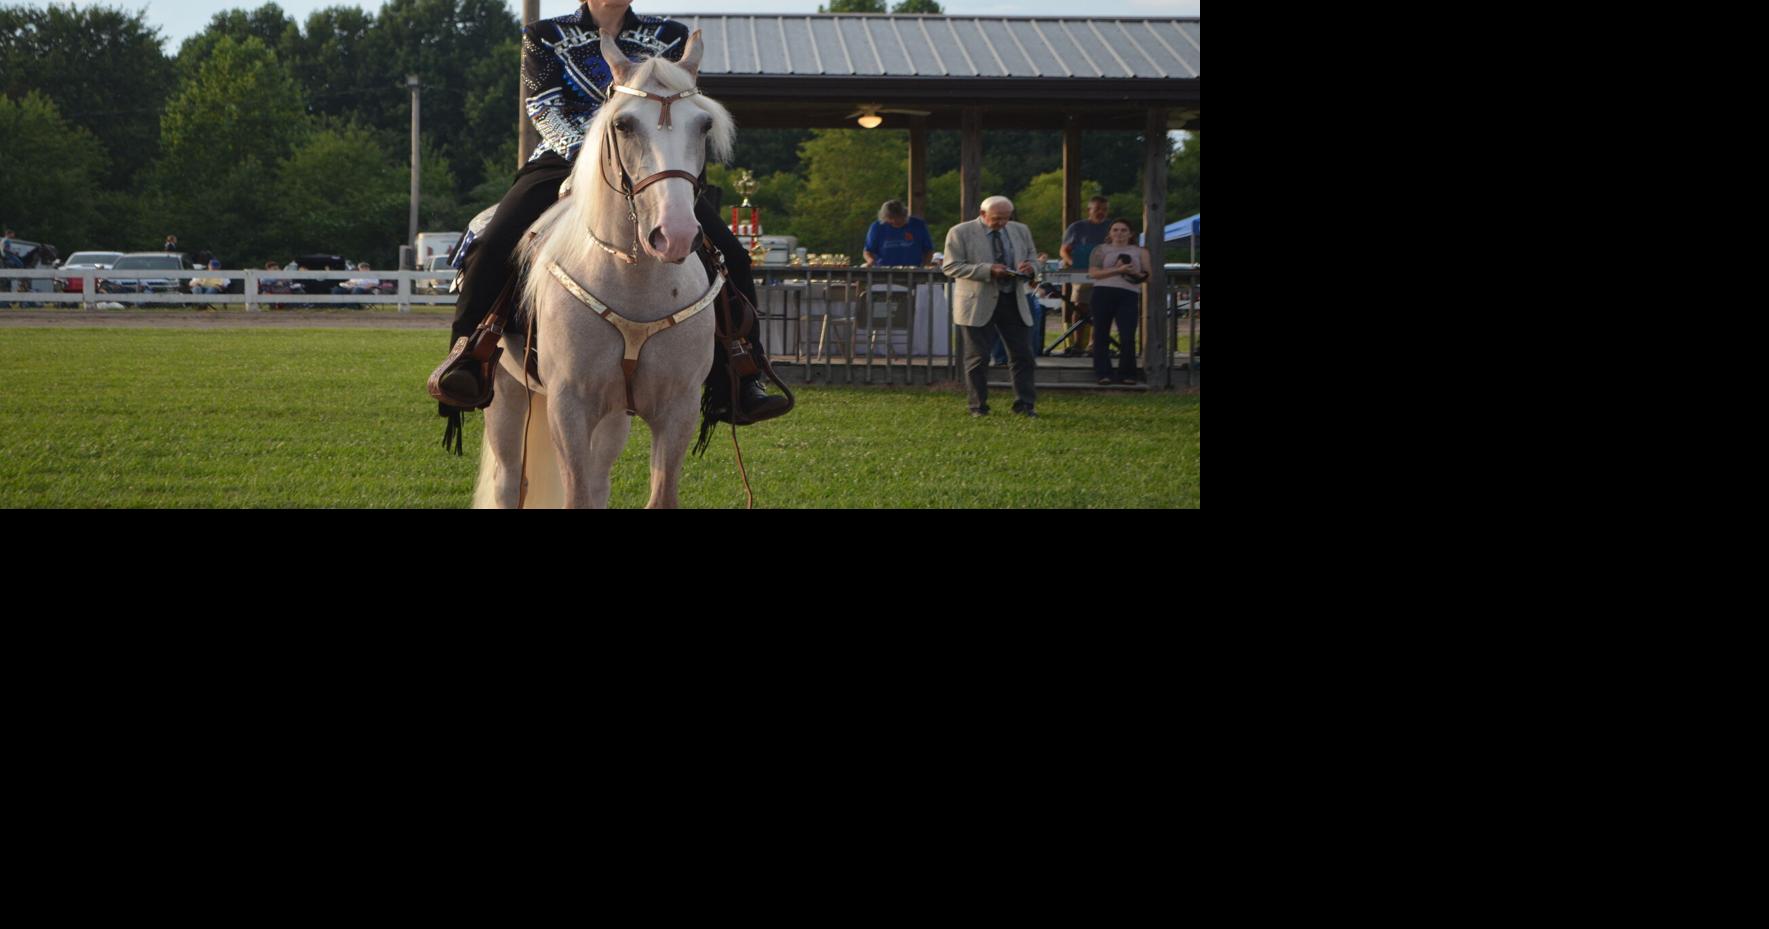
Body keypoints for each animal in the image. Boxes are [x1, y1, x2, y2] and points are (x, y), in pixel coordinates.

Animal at [471, 29, 735, 509]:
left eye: (704, 125)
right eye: (623, 125)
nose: (675, 235)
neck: (635, 281)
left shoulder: (678, 408)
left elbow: (656, 496)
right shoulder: (569, 405)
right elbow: (573, 495)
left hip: (613, 417)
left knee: (598, 483)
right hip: (506, 395)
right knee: (508, 483)